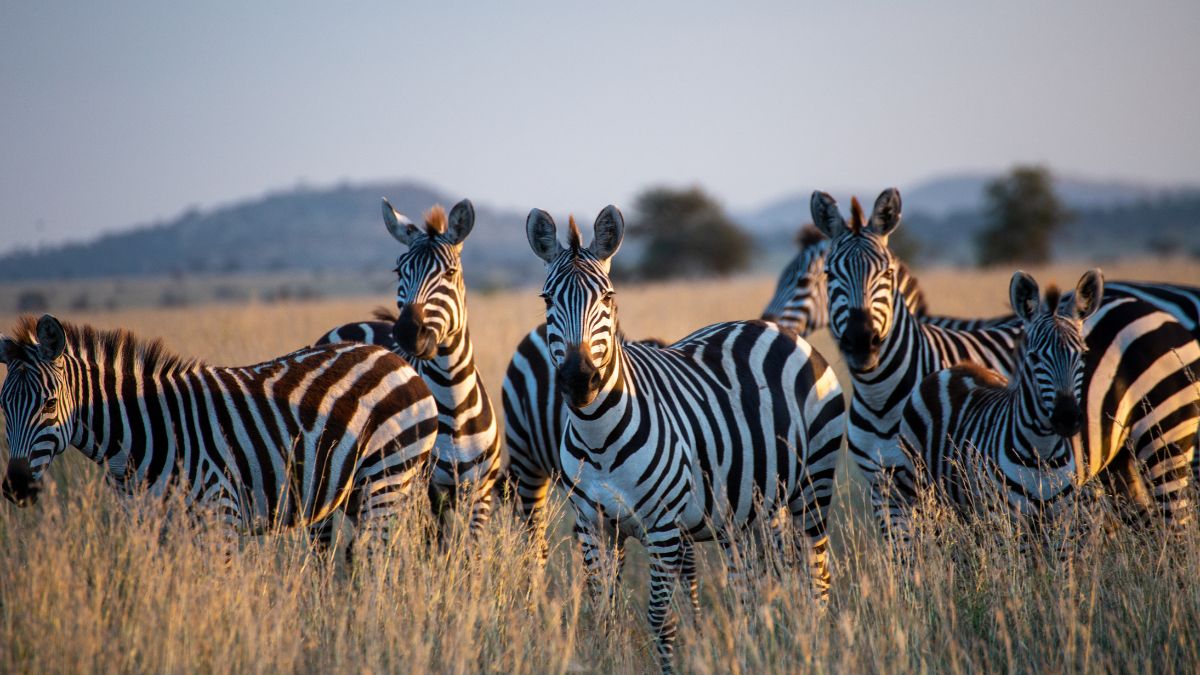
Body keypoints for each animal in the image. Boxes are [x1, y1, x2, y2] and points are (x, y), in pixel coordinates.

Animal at [0, 313, 438, 561]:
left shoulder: (218, 515)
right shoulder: (149, 527)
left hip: (386, 478)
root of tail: (396, 358)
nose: (16, 486)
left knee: (381, 562)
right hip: (354, 492)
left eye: (49, 403)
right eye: (2, 407)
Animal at [318, 198, 502, 543]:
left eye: (451, 272)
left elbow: (469, 552)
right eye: (399, 270)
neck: (454, 400)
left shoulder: (479, 494)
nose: (407, 332)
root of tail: (352, 325)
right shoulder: (424, 494)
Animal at [526, 205, 846, 673]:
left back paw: (817, 648)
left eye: (608, 298)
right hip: (752, 511)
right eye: (548, 300)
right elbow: (603, 614)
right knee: (753, 588)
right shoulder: (592, 526)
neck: (598, 437)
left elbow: (660, 618)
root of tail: (777, 330)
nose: (579, 380)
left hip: (812, 486)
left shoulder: (662, 527)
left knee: (816, 577)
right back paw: (758, 649)